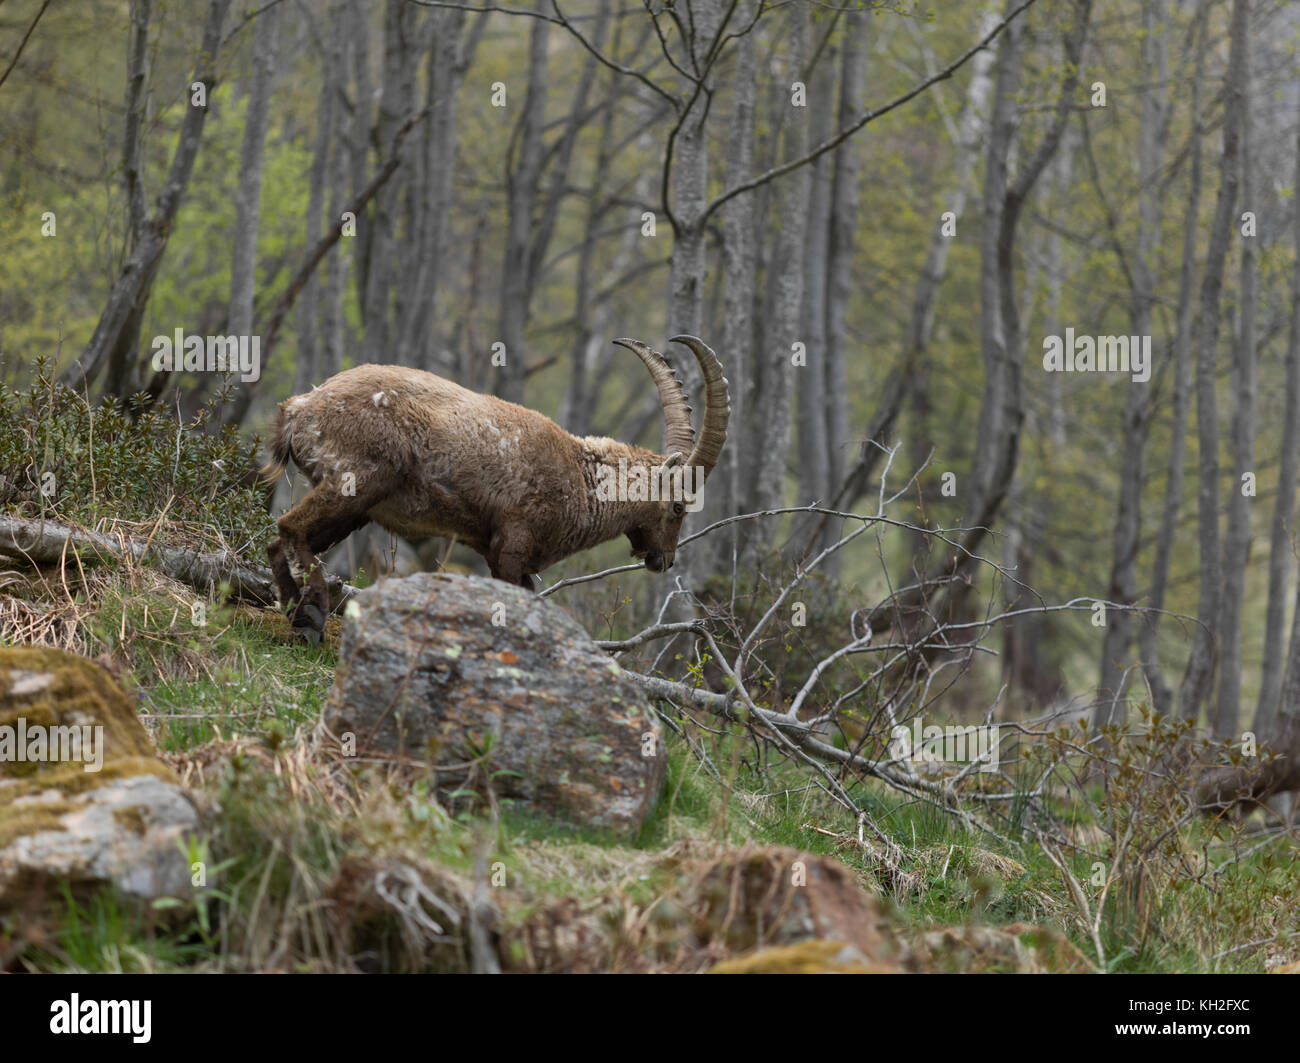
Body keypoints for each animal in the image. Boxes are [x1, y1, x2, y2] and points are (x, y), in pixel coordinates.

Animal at [261, 335, 730, 641]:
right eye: (677, 507)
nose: (664, 560)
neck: (582, 480)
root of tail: (300, 408)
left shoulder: (502, 556)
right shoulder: (511, 546)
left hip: (357, 509)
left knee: (278, 542)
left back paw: (293, 613)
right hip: (357, 482)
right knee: (290, 528)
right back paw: (312, 617)